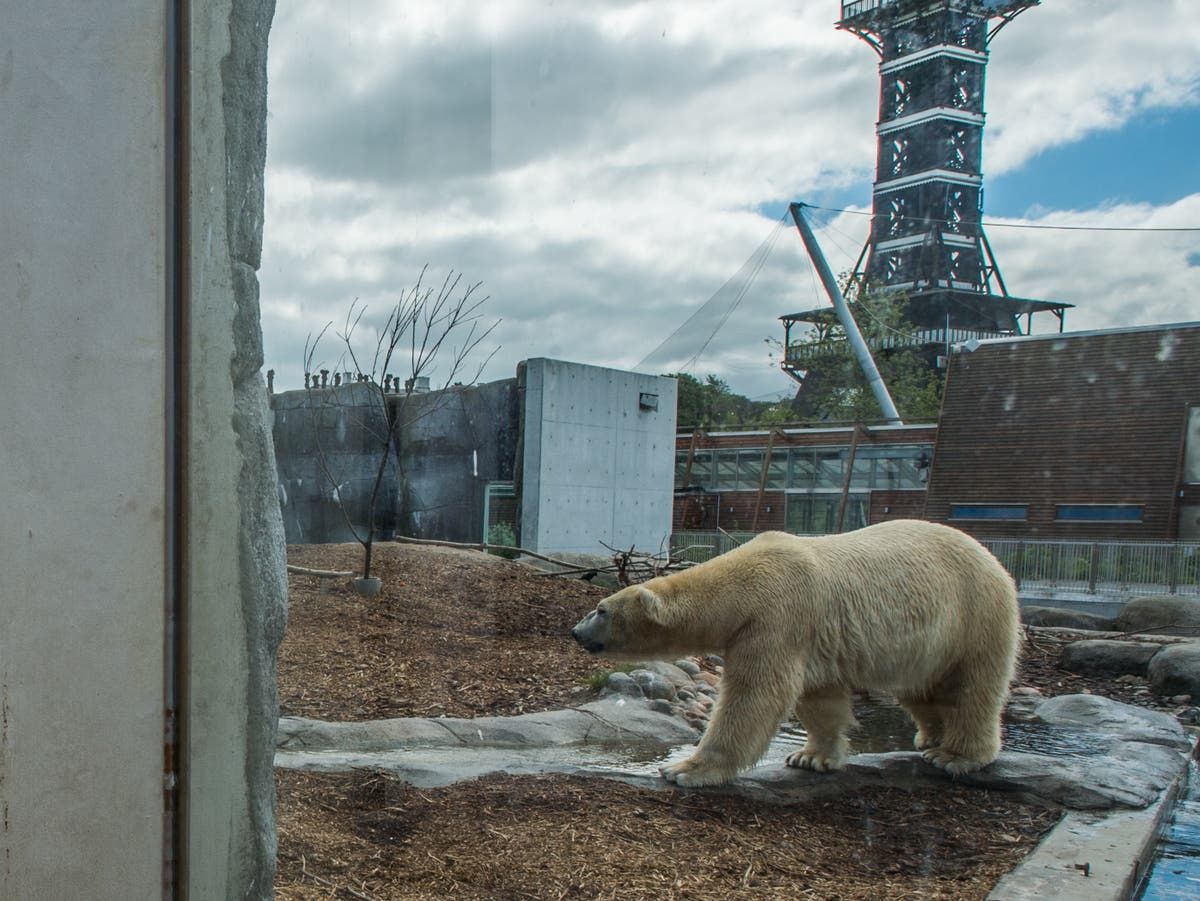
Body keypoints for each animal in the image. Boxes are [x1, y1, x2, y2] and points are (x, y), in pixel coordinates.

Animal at [570, 519, 1019, 787]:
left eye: (601, 610)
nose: (575, 631)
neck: (740, 584)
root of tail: (992, 558)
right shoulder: (808, 637)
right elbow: (819, 697)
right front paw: (811, 757)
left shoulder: (778, 617)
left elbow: (757, 696)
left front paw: (685, 769)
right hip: (927, 642)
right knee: (921, 687)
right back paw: (930, 736)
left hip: (974, 613)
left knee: (972, 685)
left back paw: (955, 755)